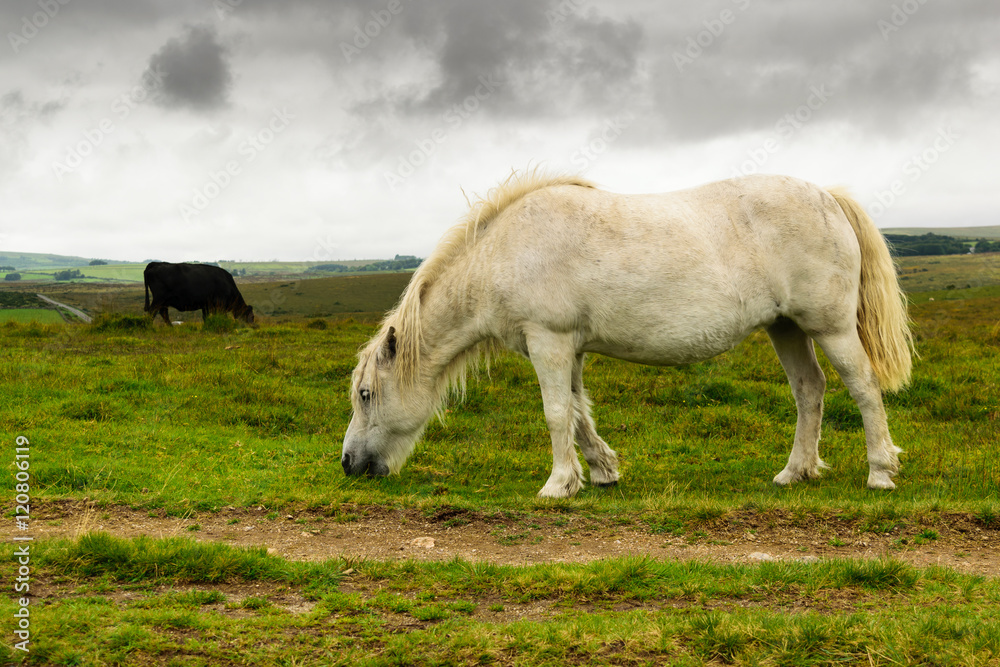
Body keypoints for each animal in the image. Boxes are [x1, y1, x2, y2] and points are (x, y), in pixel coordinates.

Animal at [342, 171, 913, 498]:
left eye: (366, 394)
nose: (349, 464)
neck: (504, 252)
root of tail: (828, 196)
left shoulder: (548, 342)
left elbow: (556, 414)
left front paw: (557, 485)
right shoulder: (568, 349)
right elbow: (578, 414)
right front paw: (599, 472)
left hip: (829, 327)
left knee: (863, 388)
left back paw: (880, 472)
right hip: (787, 328)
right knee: (809, 391)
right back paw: (795, 472)